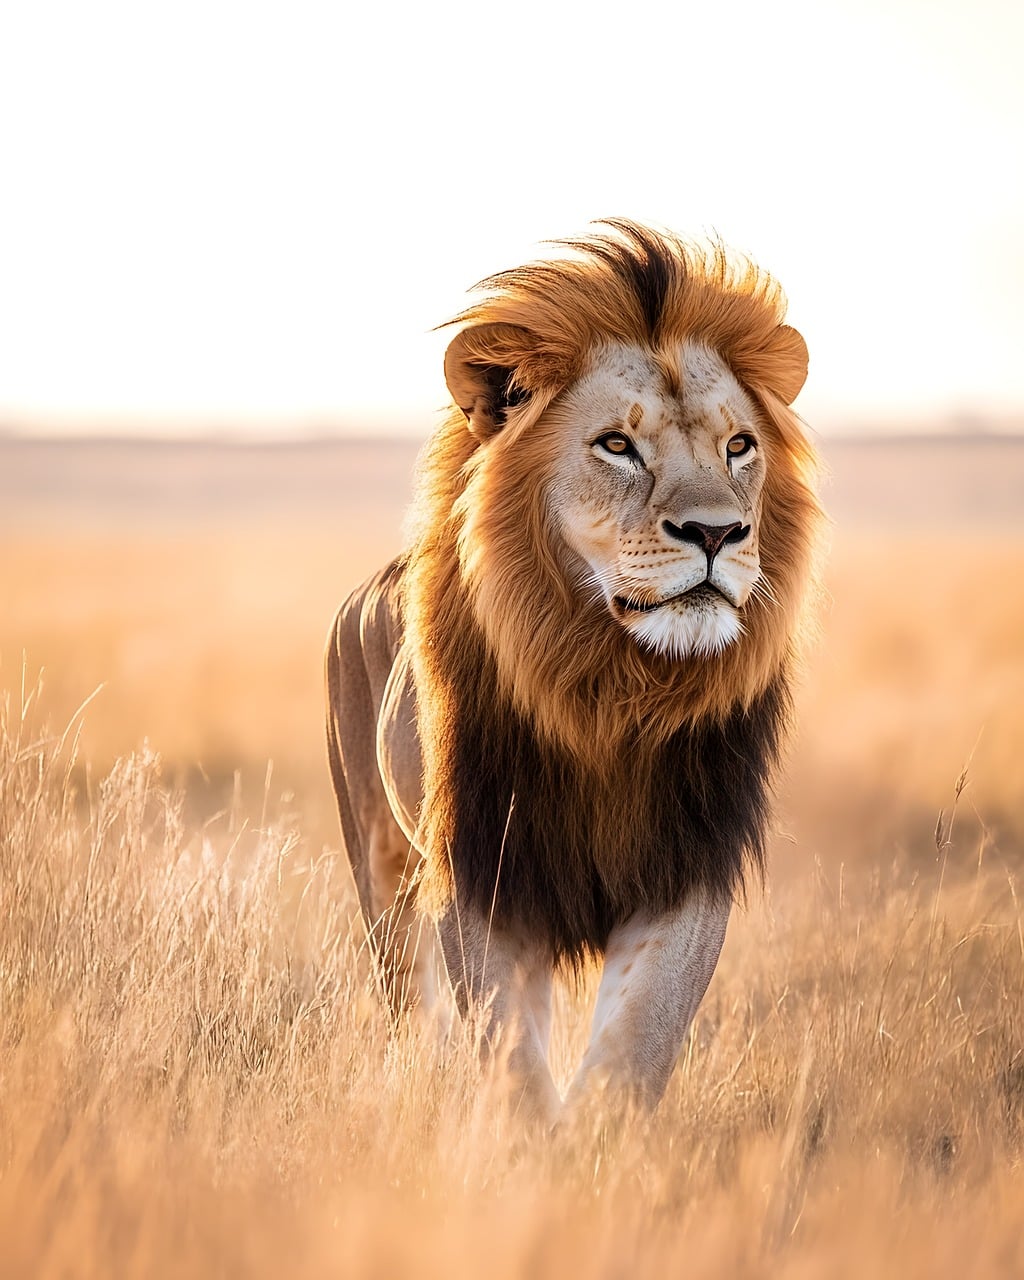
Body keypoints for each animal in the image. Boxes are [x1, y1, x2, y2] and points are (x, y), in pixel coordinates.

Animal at [326, 220, 821, 1120]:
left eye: (740, 446)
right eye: (617, 446)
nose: (717, 532)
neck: (611, 690)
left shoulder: (687, 863)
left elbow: (636, 1042)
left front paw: (595, 1142)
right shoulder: (484, 862)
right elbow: (509, 1051)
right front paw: (528, 1142)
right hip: (380, 867)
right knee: (410, 1003)